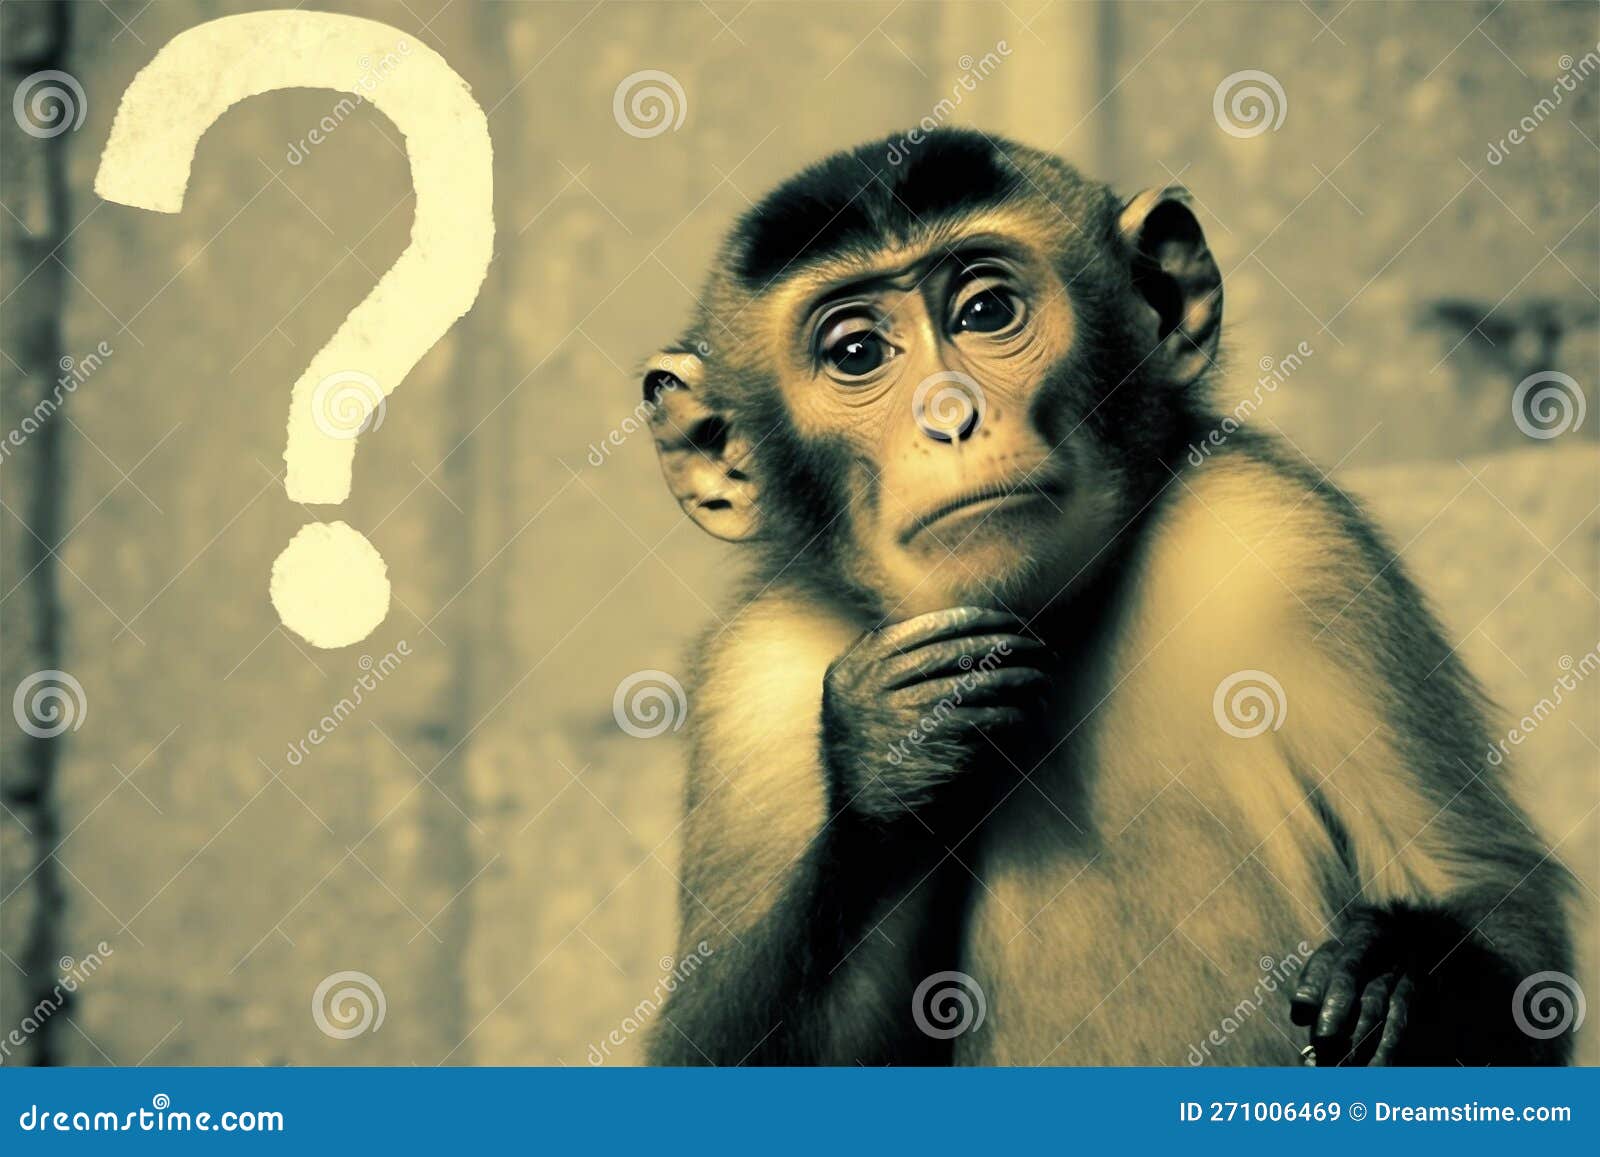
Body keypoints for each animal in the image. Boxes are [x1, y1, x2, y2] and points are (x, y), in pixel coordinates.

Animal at [638, 129, 1576, 1067]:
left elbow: (1502, 915)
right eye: (857, 354)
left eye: (986, 312)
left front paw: (1398, 972)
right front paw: (891, 752)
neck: (1058, 619)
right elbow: (709, 1054)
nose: (950, 413)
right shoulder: (758, 675)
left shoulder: (1287, 539)